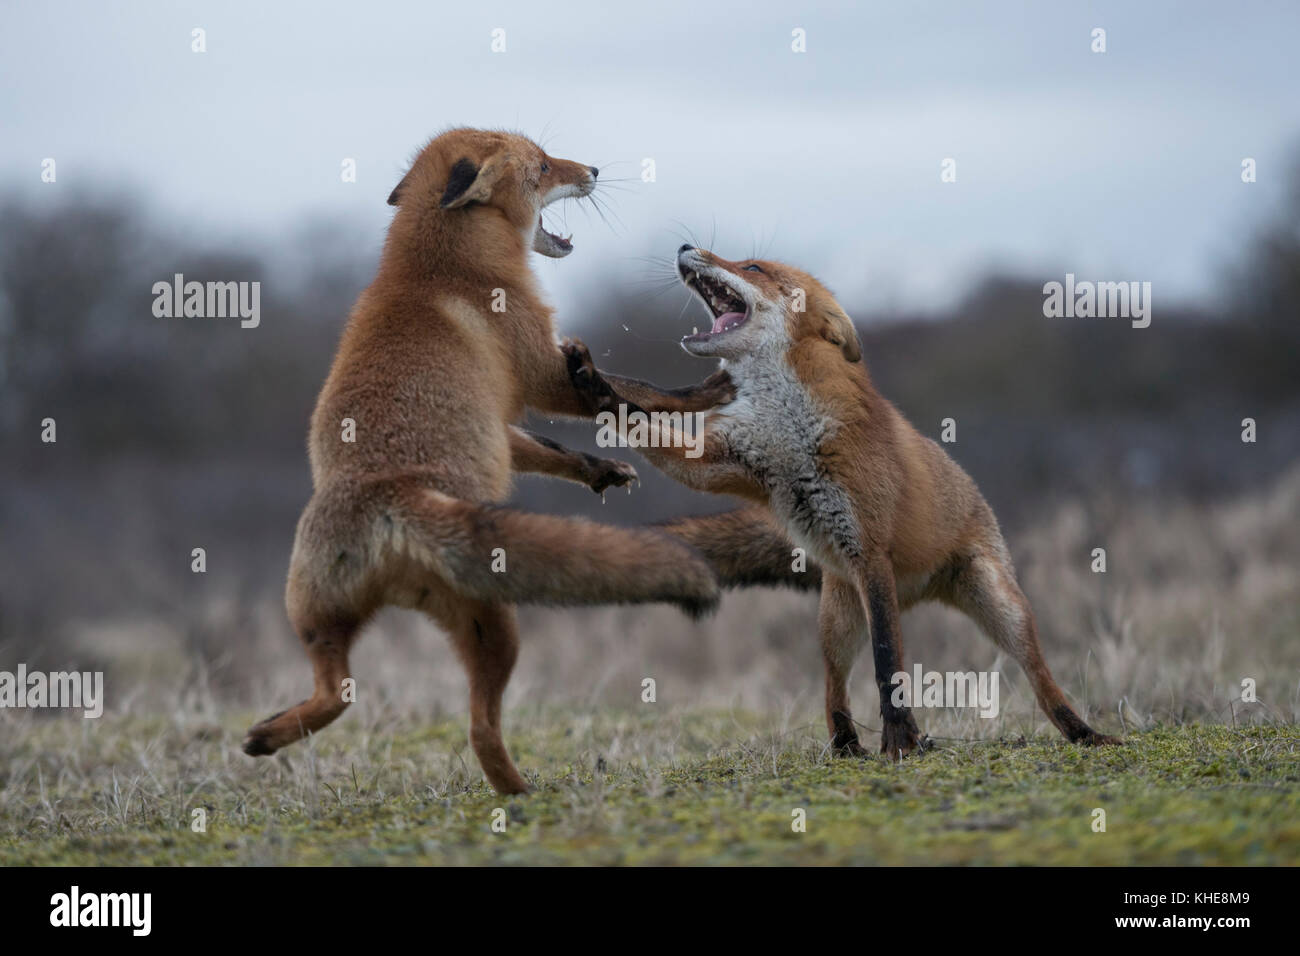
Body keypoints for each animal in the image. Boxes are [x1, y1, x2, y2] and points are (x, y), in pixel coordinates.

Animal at [240, 130, 811, 794]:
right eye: (541, 166)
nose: (593, 168)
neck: (443, 268)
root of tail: (395, 496)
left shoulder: (500, 422)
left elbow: (554, 451)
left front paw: (601, 470)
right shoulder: (545, 375)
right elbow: (635, 391)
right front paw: (704, 391)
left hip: (322, 616)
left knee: (339, 693)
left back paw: (267, 734)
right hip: (500, 629)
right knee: (478, 730)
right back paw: (522, 794)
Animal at [563, 243, 1122, 759]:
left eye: (752, 267)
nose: (685, 245)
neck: (786, 424)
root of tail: (919, 590)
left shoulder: (870, 548)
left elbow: (888, 662)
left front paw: (901, 741)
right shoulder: (723, 461)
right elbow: (640, 422)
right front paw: (594, 385)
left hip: (996, 603)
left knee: (1039, 676)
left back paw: (1083, 732)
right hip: (836, 619)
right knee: (834, 688)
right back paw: (845, 746)